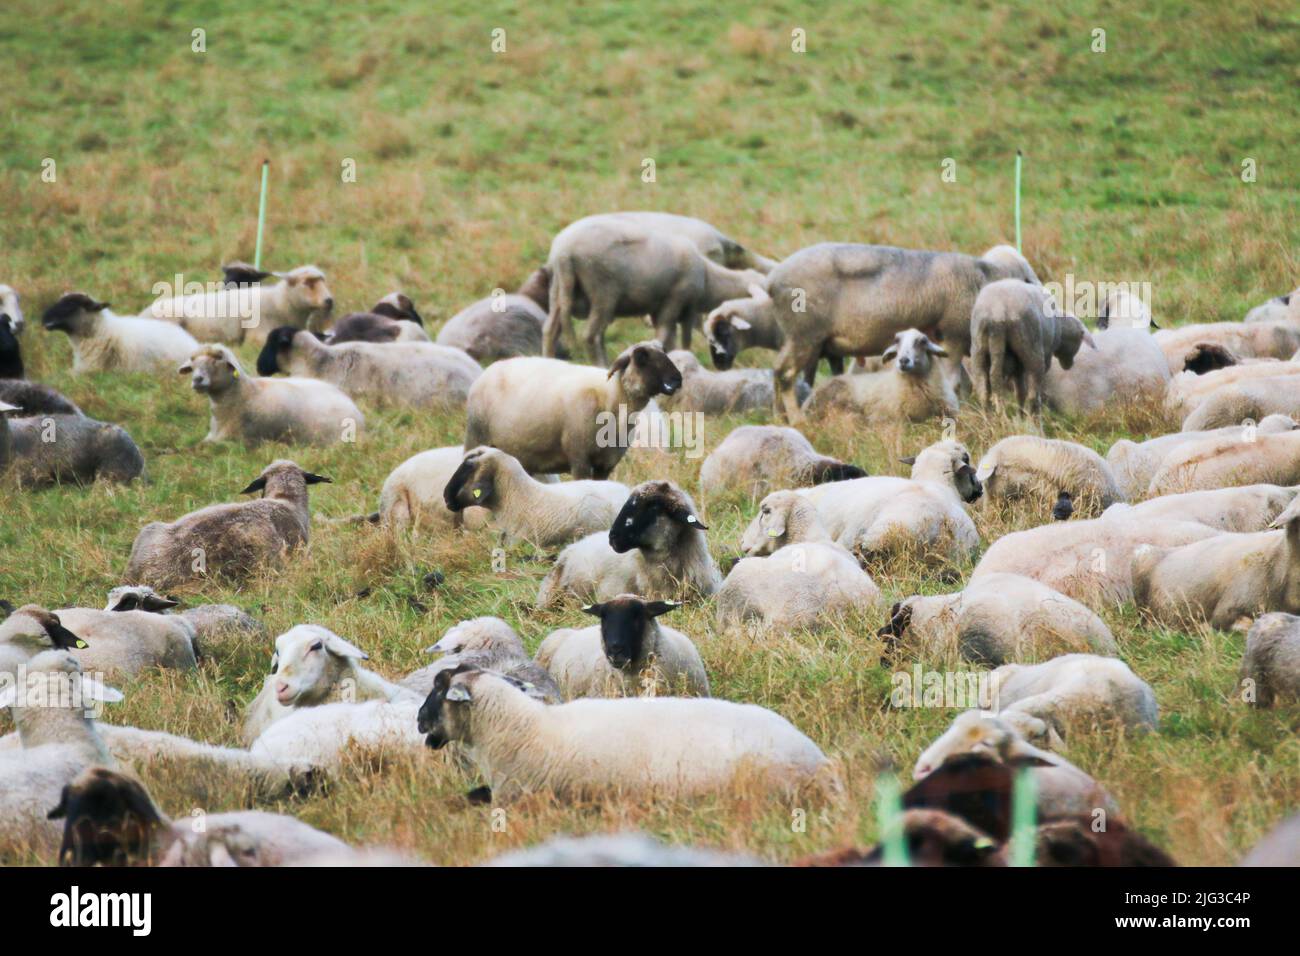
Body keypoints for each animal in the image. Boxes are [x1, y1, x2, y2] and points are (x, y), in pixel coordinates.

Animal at [142, 264, 334, 346]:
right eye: (307, 283)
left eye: (323, 282)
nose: (329, 300)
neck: (278, 302)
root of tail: (142, 314)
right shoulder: (257, 334)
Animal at [464, 341, 683, 479]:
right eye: (641, 358)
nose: (677, 379)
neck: (611, 398)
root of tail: (487, 371)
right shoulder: (580, 459)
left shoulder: (606, 465)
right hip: (477, 436)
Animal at [542, 215, 768, 365]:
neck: (708, 278)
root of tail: (563, 253)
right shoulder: (676, 302)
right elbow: (671, 337)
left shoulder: (669, 311)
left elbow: (674, 340)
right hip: (603, 292)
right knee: (591, 335)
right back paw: (602, 365)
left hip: (558, 289)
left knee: (550, 330)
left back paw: (548, 361)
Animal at [969, 279, 1095, 413]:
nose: (1069, 365)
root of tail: (997, 311)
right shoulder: (1045, 355)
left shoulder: (1017, 365)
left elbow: (1019, 391)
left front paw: (1019, 414)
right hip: (1031, 349)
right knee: (1032, 392)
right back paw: (1033, 413)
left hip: (979, 350)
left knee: (983, 389)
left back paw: (988, 416)